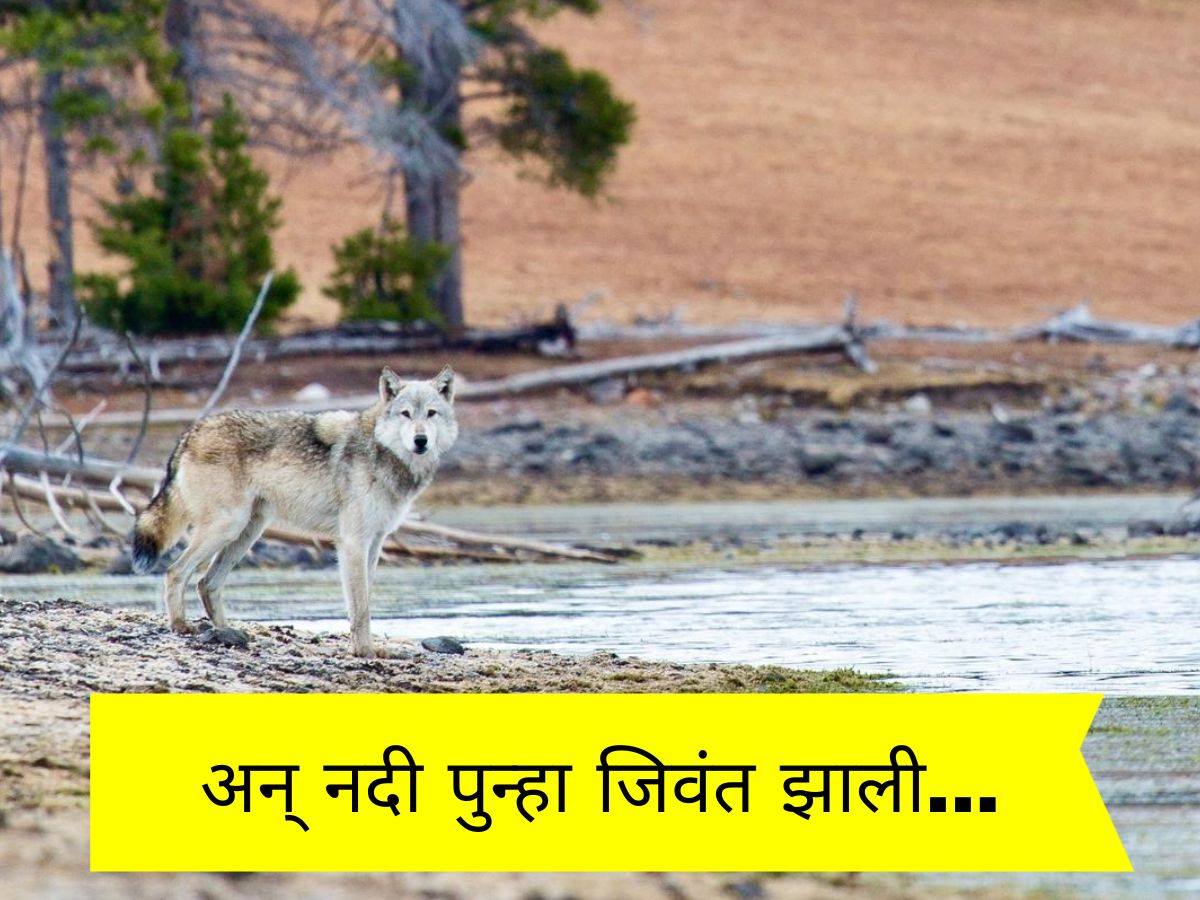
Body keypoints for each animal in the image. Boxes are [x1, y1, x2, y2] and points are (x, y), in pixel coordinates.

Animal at [131, 365, 458, 657]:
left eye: (431, 413)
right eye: (406, 414)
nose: (420, 440)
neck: (382, 452)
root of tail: (191, 431)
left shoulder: (375, 542)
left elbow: (365, 601)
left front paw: (366, 648)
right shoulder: (352, 543)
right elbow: (360, 607)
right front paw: (364, 652)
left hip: (247, 532)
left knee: (206, 583)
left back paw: (228, 632)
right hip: (226, 527)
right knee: (176, 572)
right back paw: (181, 626)